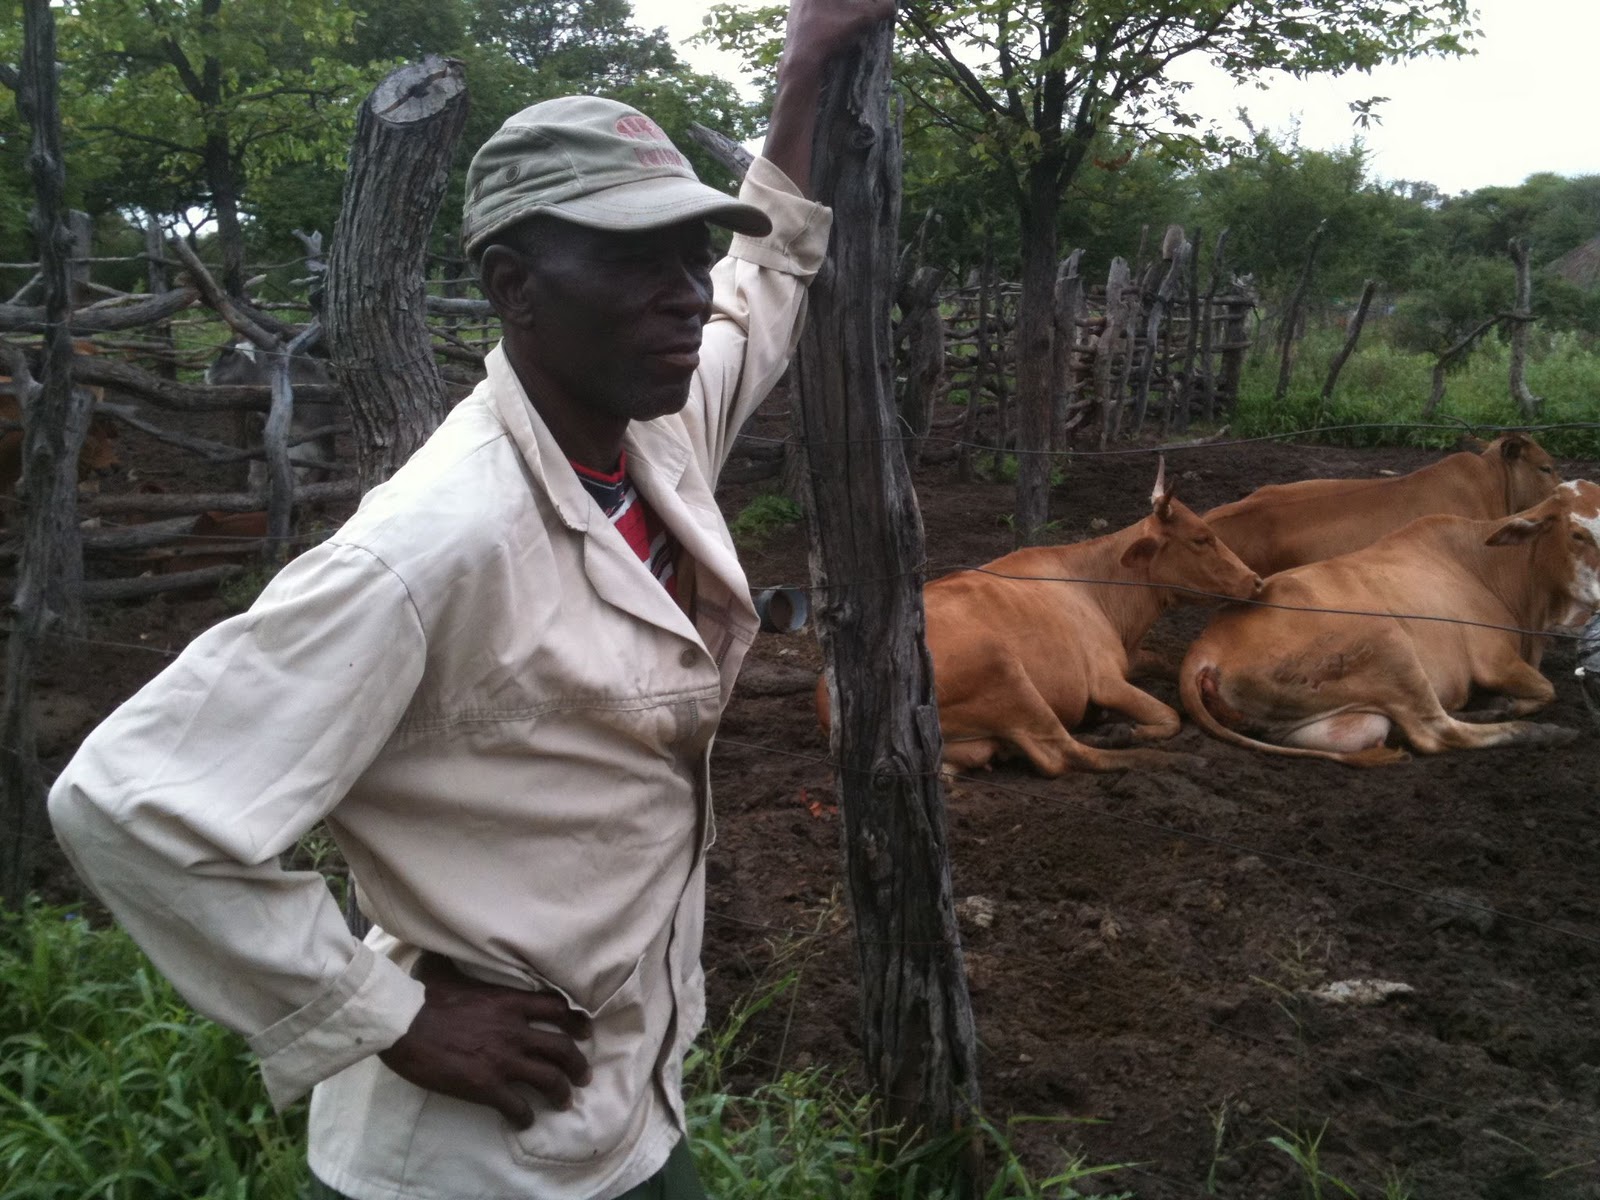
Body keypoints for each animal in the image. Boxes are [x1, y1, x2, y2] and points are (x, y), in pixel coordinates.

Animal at [815, 460, 1263, 777]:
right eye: (1202, 539)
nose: (1256, 580)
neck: (1102, 591)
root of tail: (826, 696)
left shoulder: (1131, 656)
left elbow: (1169, 662)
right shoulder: (1104, 679)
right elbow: (1170, 717)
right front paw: (1130, 729)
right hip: (1007, 673)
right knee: (1064, 754)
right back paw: (1170, 759)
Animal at [1179, 480, 1600, 766]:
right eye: (1577, 533)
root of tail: (1206, 645)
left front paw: (1501, 703)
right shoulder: (1494, 659)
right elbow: (1546, 690)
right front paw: (1516, 709)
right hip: (1389, 641)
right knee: (1437, 732)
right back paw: (1545, 733)